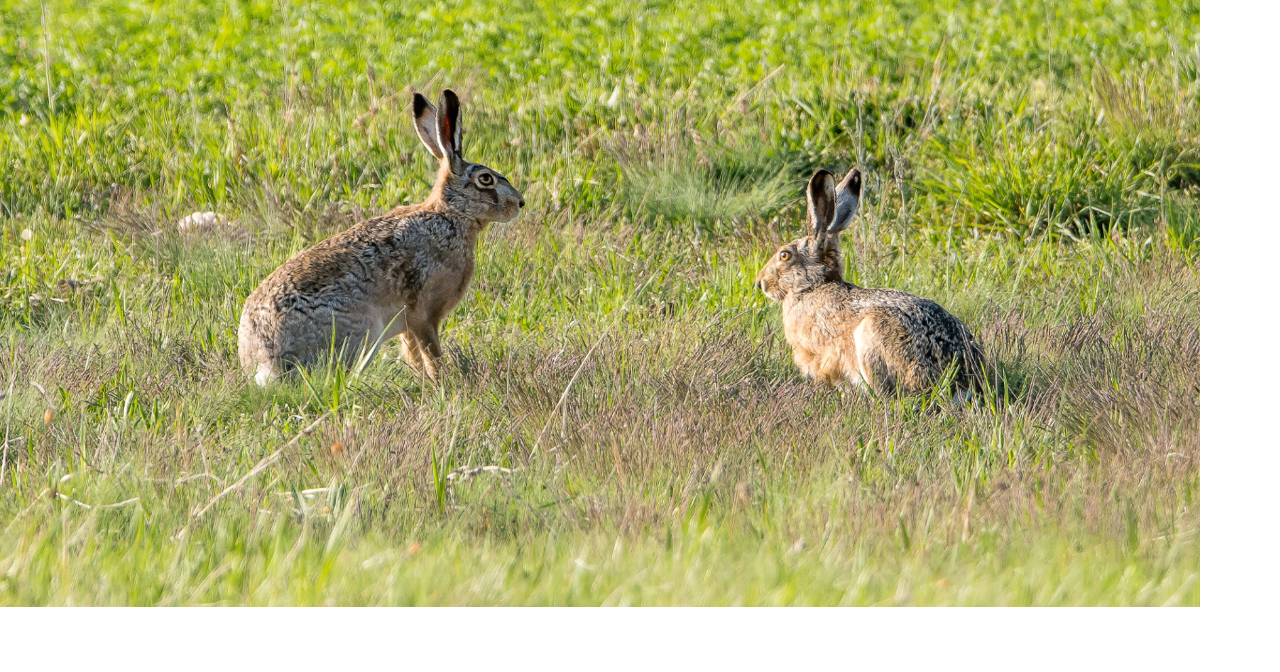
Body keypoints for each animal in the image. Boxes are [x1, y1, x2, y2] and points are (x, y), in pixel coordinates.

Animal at [238, 89, 524, 386]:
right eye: (486, 179)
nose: (519, 203)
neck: (451, 215)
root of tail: (265, 363)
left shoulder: (408, 326)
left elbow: (413, 353)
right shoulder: (424, 314)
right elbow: (431, 352)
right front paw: (442, 382)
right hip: (363, 331)